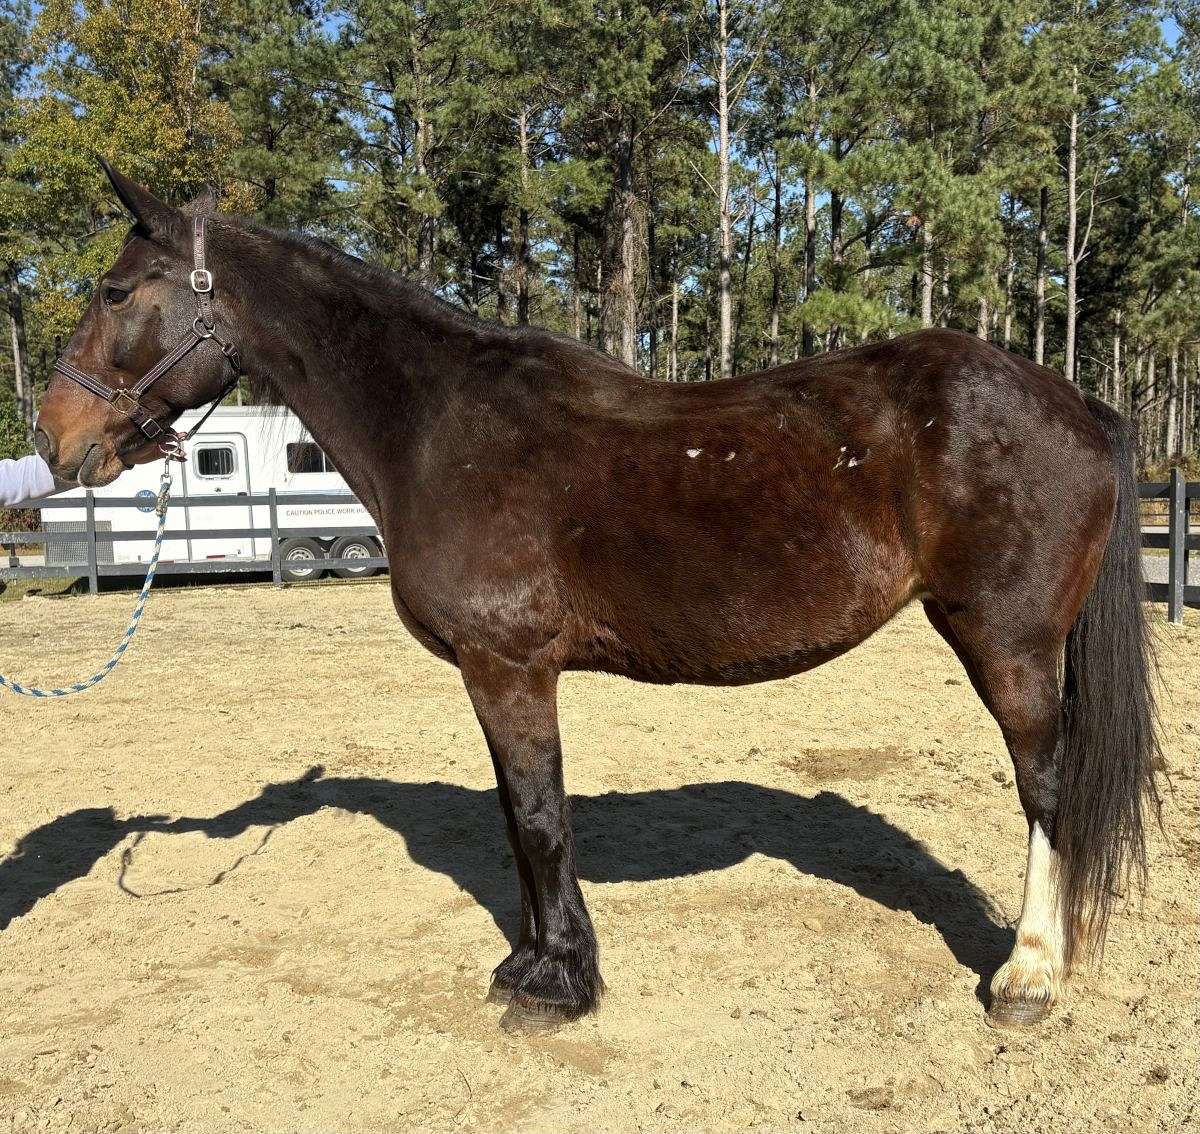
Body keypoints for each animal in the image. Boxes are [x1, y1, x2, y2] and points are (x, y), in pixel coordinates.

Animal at [34, 163, 1159, 1032]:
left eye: (117, 291)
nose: (54, 441)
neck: (438, 424)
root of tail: (1078, 402)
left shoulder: (510, 667)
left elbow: (539, 820)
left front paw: (560, 985)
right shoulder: (495, 678)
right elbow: (516, 818)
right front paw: (531, 962)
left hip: (1006, 643)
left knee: (1046, 788)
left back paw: (1027, 977)